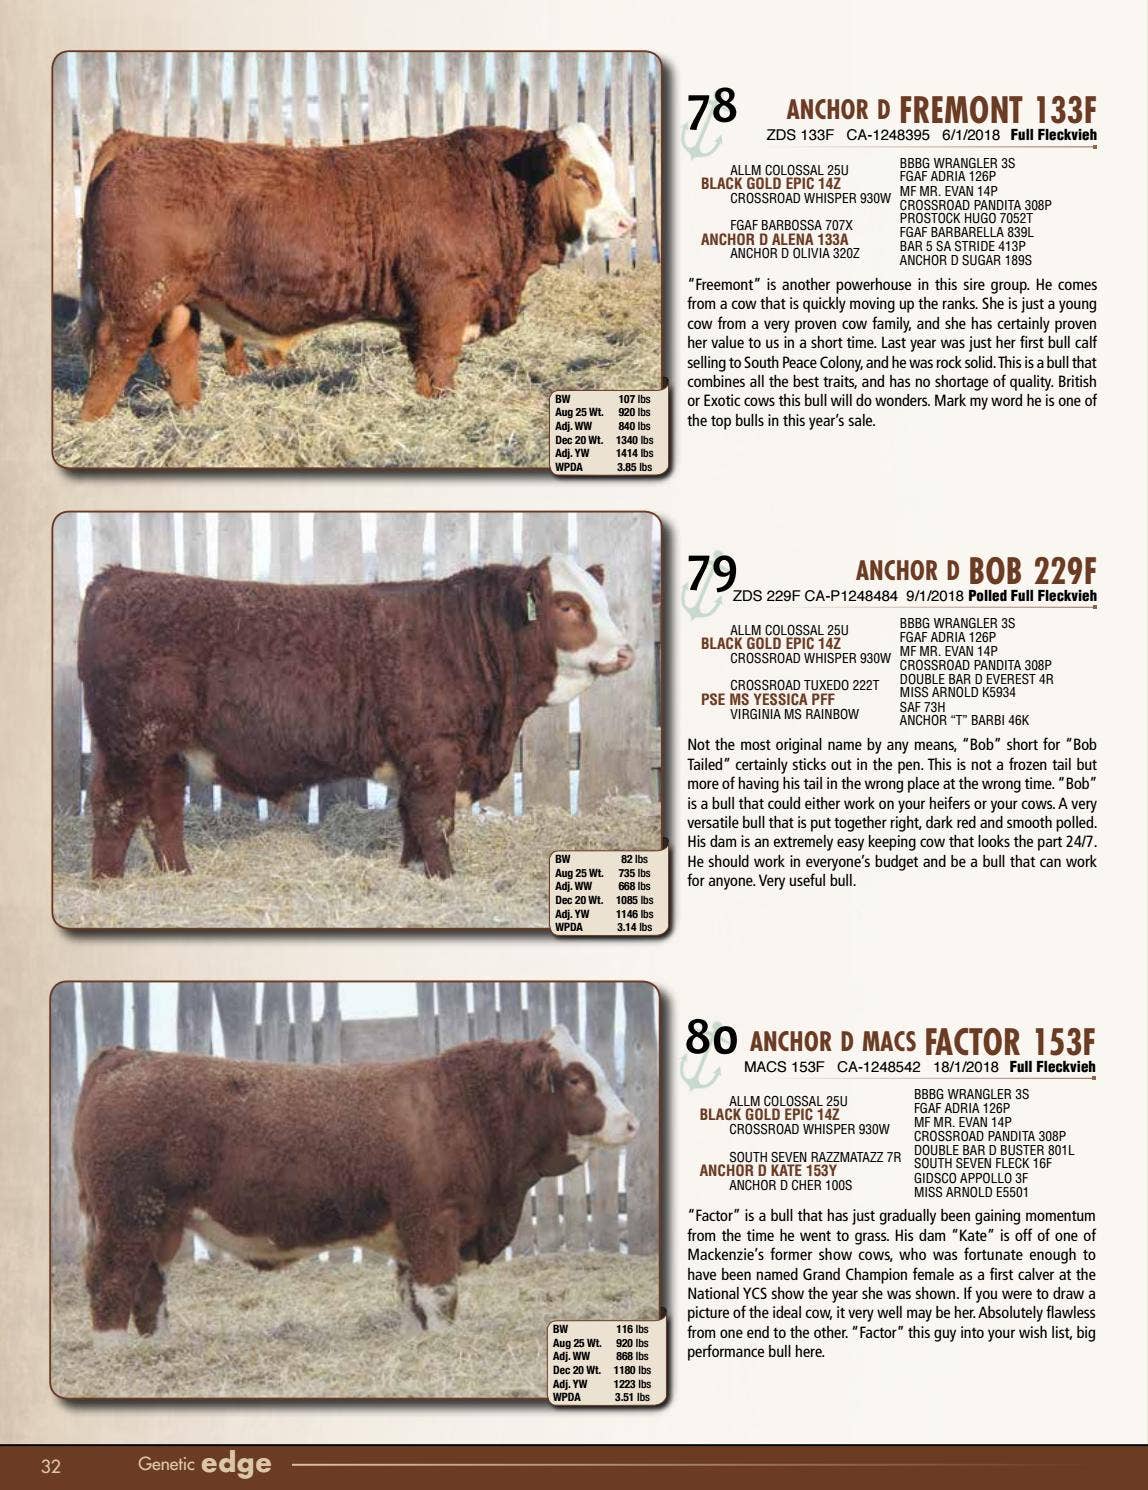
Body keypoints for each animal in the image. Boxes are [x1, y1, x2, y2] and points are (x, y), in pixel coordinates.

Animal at [72, 1026, 640, 1340]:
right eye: (575, 1079)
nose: (631, 1122)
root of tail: (126, 1057)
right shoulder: (433, 1222)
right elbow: (441, 1294)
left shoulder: (411, 1233)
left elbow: (411, 1296)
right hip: (127, 1218)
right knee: (111, 1284)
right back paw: (114, 1355)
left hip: (159, 1225)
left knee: (149, 1288)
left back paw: (160, 1348)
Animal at [75, 122, 635, 420]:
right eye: (580, 174)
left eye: (607, 170)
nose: (626, 220)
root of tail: (138, 140)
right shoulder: (443, 301)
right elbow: (441, 363)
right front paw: (442, 406)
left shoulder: (420, 313)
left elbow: (424, 367)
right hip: (135, 299)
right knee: (114, 357)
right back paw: (92, 424)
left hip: (178, 301)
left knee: (178, 352)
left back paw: (192, 413)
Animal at [77, 554, 634, 880]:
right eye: (568, 605)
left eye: (603, 600)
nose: (626, 652)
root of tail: (117, 578)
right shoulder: (435, 751)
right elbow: (435, 819)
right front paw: (445, 878)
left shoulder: (415, 759)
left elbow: (411, 818)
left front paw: (413, 871)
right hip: (130, 742)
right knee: (113, 808)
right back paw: (109, 884)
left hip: (165, 751)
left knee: (162, 811)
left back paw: (179, 875)